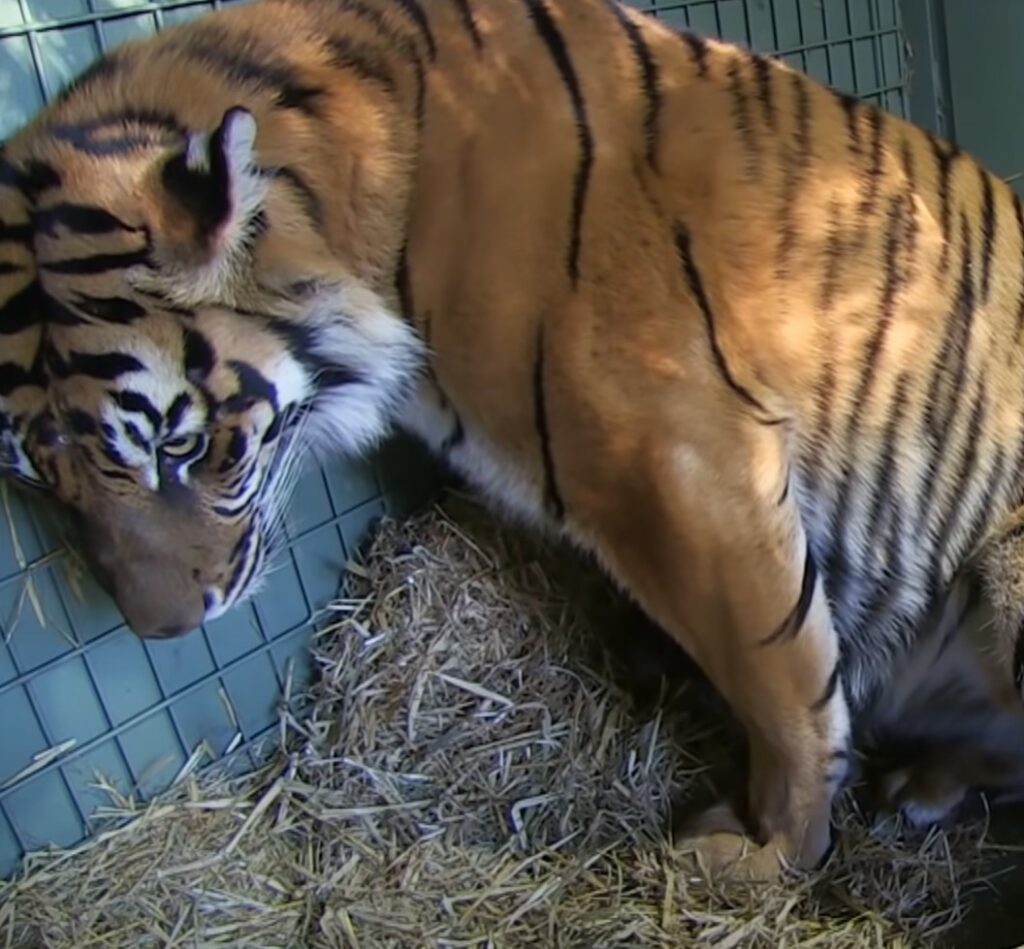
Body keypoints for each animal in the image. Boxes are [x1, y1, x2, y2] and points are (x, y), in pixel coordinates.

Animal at [4, 0, 1024, 883]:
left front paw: (770, 853)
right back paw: (922, 784)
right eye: (39, 477)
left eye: (175, 448)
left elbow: (784, 689)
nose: (164, 628)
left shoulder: (687, 462)